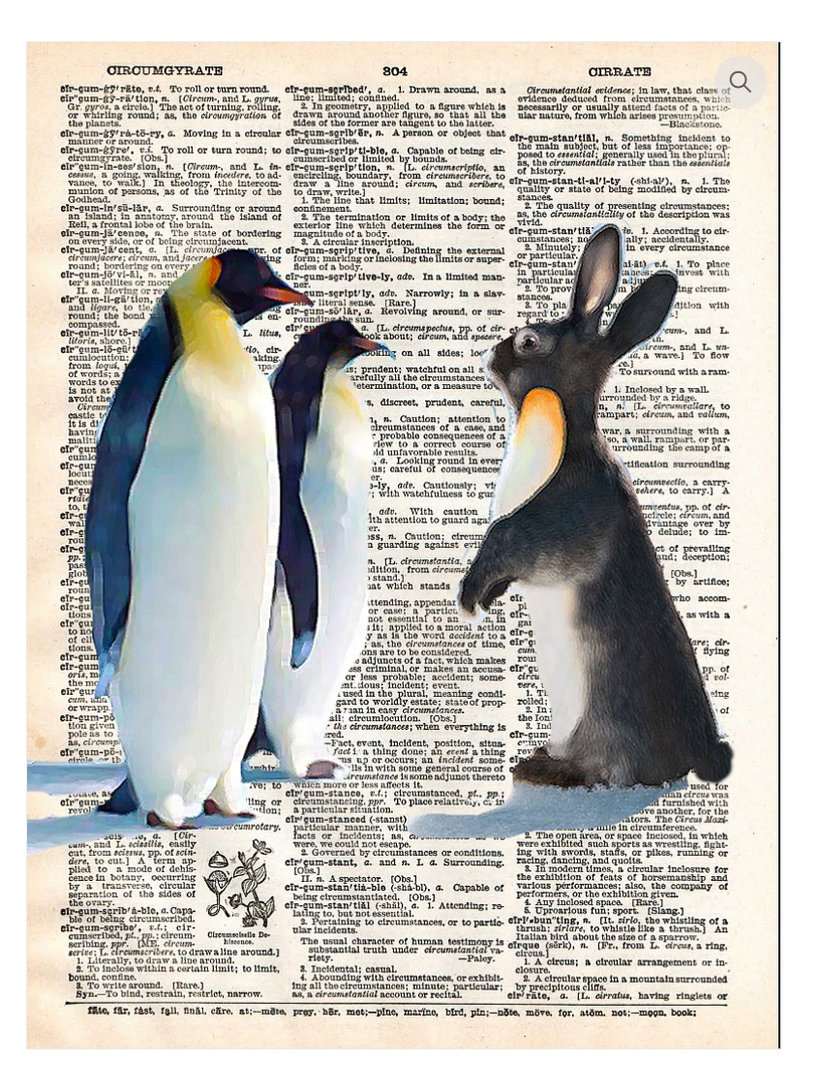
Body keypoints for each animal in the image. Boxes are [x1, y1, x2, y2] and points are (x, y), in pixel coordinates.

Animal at [457, 224, 732, 789]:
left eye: (529, 342)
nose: (490, 354)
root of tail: (706, 752)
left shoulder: (561, 519)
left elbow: (505, 538)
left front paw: (471, 598)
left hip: (605, 719)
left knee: (616, 766)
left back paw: (550, 769)